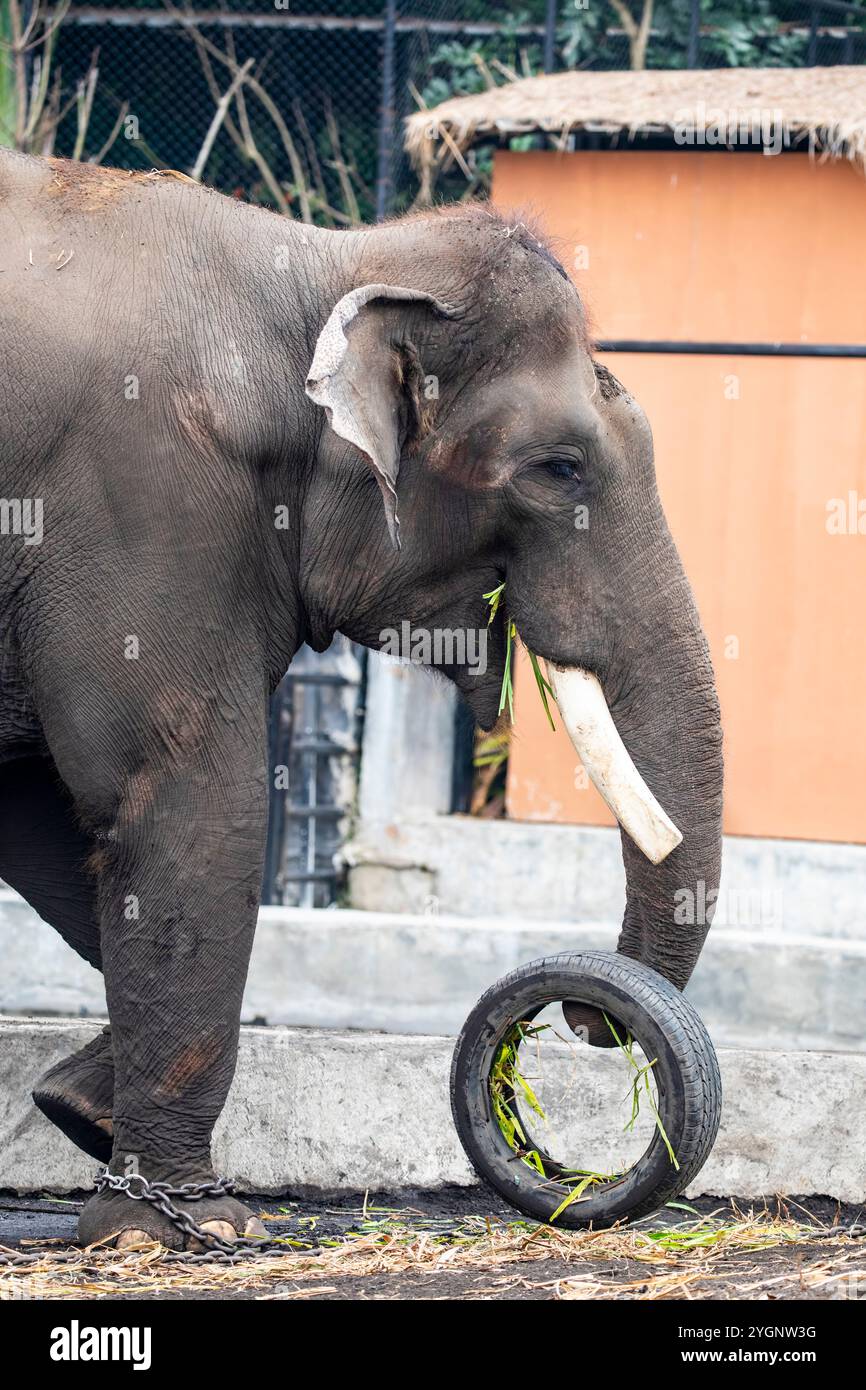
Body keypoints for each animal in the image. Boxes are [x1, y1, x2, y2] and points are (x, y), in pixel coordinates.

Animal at [0, 149, 723, 1249]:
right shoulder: (138, 494)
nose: (590, 1015)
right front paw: (184, 1228)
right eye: (560, 469)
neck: (324, 262)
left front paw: (80, 1109)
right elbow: (179, 792)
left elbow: (48, 808)